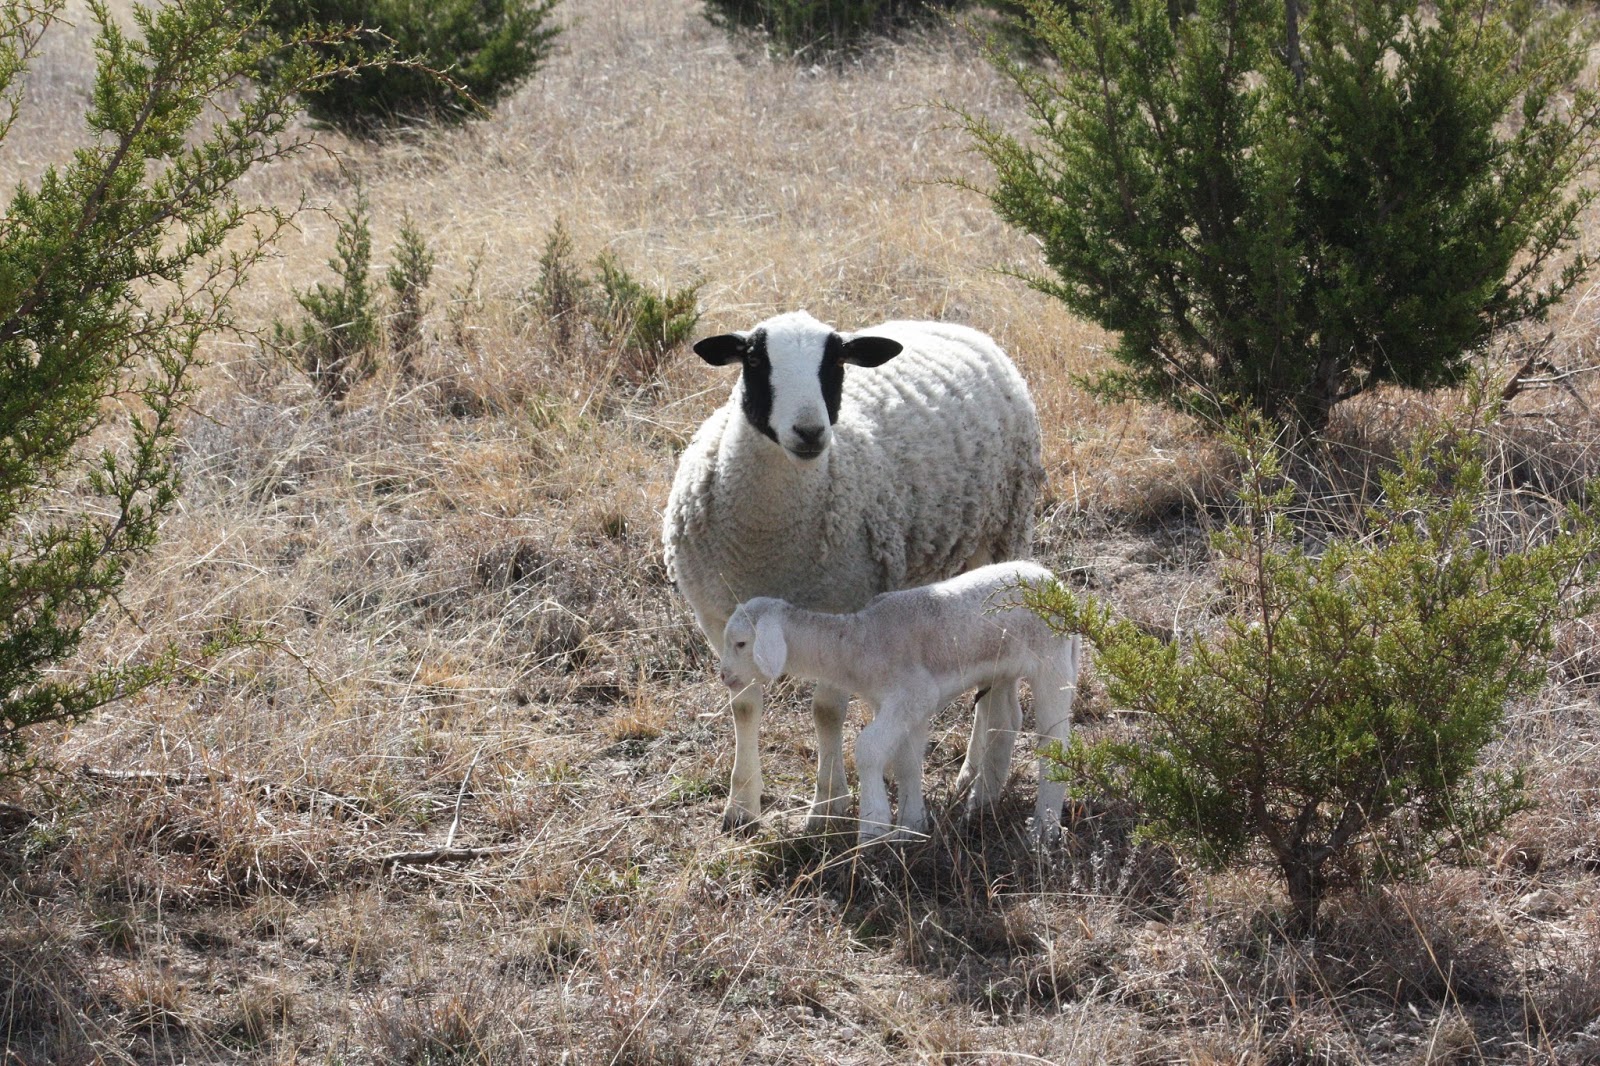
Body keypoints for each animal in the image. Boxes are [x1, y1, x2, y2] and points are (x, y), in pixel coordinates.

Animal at [662, 310, 1043, 832]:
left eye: (837, 362)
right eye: (754, 360)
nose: (809, 432)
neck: (767, 541)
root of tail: (959, 327)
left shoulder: (841, 609)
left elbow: (826, 712)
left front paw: (827, 807)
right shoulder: (717, 616)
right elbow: (744, 703)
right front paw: (741, 808)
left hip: (1002, 538)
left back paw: (971, 776)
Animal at [717, 561, 1081, 844]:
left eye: (740, 643)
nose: (724, 676)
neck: (856, 642)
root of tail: (1061, 588)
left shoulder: (913, 694)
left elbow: (868, 749)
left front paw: (874, 826)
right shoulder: (902, 707)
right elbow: (906, 762)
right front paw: (911, 827)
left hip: (1051, 661)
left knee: (1054, 742)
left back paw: (1044, 830)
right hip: (1002, 669)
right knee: (1004, 723)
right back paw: (981, 803)